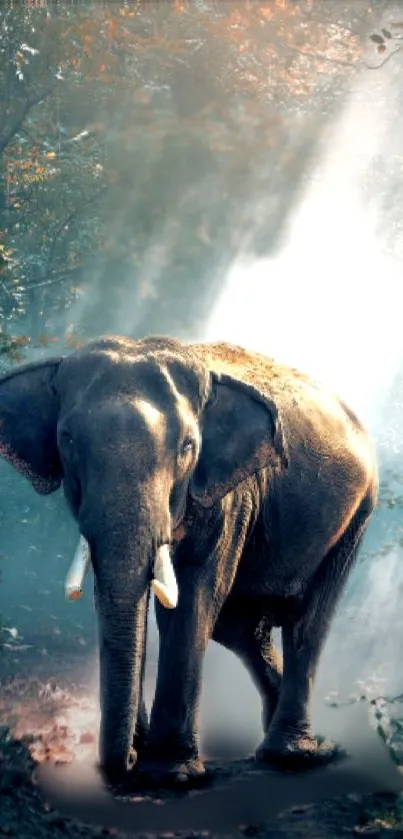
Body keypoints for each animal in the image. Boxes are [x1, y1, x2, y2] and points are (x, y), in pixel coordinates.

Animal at [0, 334, 378, 787]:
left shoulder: (229, 496)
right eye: (68, 440)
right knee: (241, 628)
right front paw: (149, 757)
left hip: (356, 516)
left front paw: (170, 775)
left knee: (306, 621)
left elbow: (194, 597)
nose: (127, 759)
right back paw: (307, 744)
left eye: (188, 447)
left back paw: (294, 755)